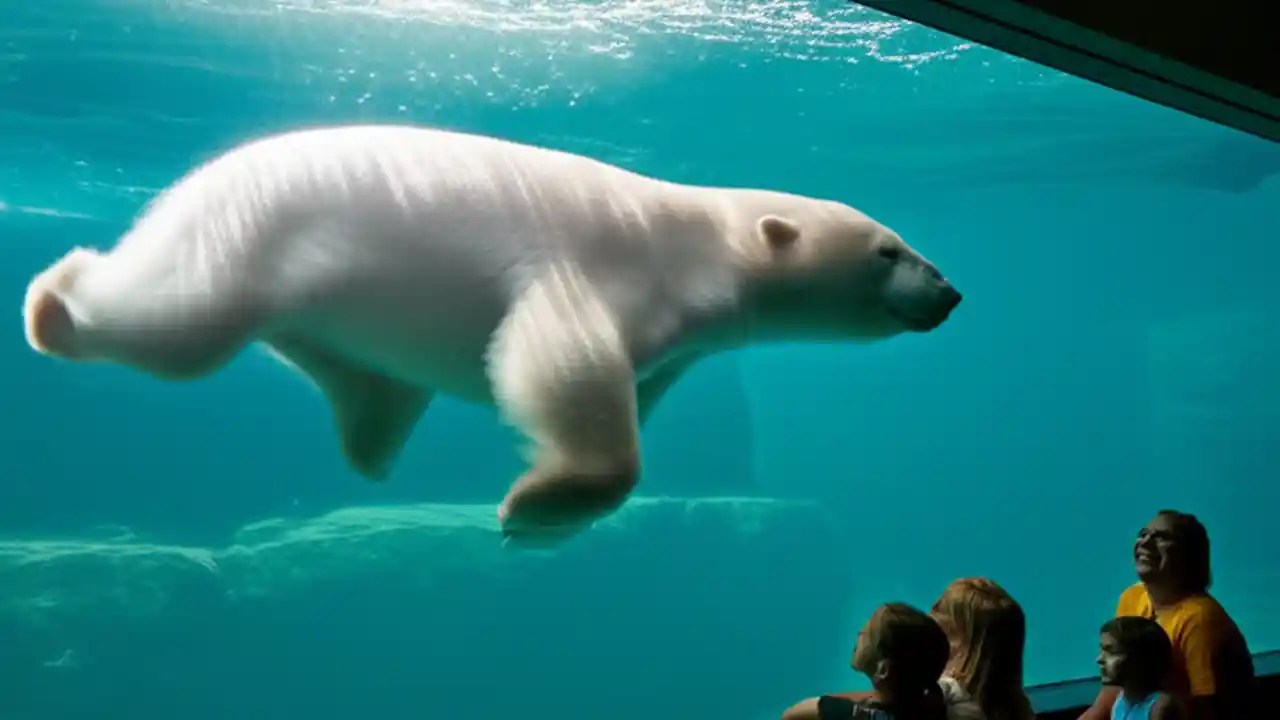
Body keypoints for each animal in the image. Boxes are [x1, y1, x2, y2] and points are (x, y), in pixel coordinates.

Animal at [22, 124, 962, 546]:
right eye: (888, 250)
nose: (950, 292)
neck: (705, 239)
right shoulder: (602, 260)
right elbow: (563, 361)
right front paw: (533, 510)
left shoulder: (683, 342)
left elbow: (641, 380)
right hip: (243, 234)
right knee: (182, 327)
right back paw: (53, 299)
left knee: (373, 377)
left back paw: (371, 439)